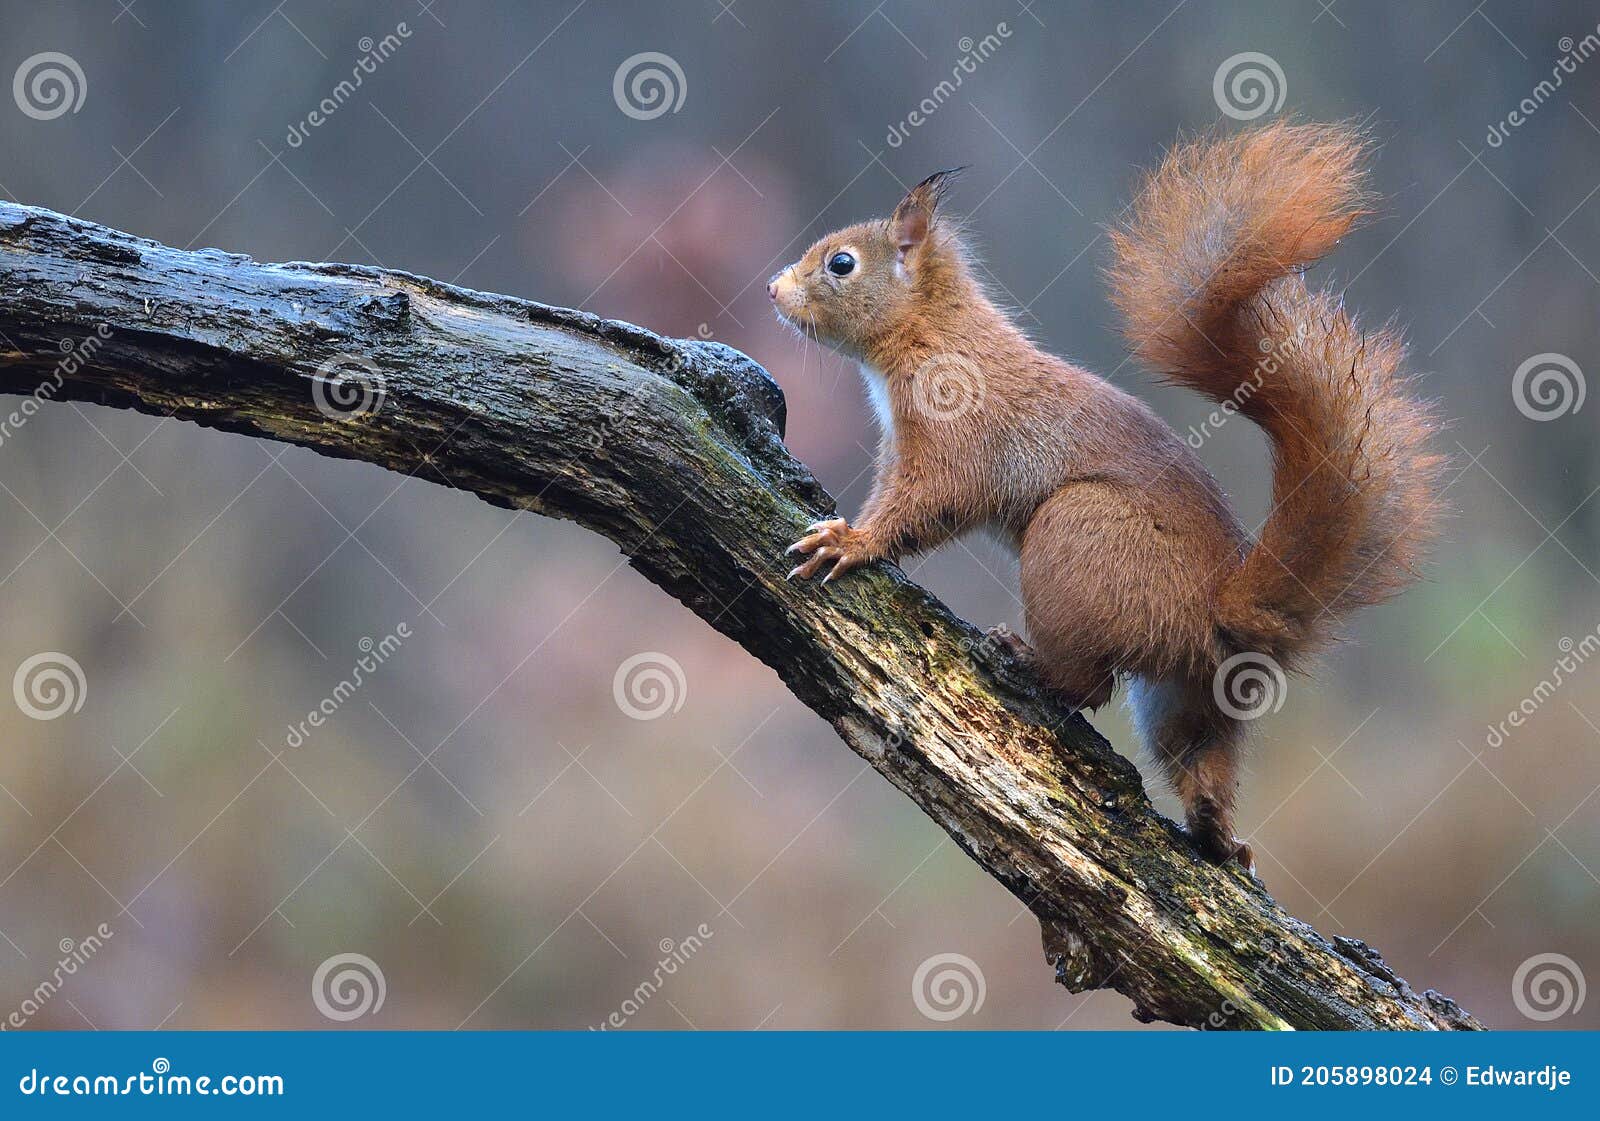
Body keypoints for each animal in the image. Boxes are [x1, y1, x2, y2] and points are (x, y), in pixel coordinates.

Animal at [768, 122, 1442, 870]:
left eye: (842, 264)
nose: (773, 288)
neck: (933, 332)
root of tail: (1219, 611)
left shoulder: (953, 433)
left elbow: (925, 505)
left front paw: (849, 542)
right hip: (1183, 692)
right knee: (1200, 755)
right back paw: (1218, 835)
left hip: (1077, 538)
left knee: (1089, 685)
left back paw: (1026, 659)